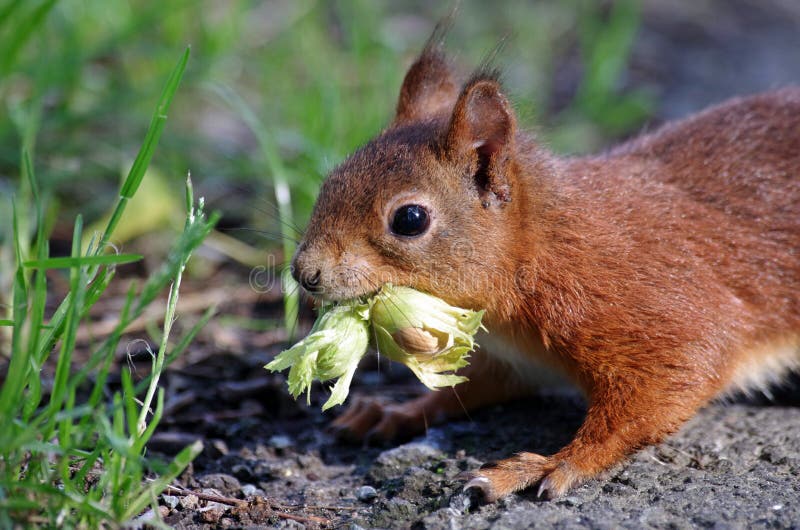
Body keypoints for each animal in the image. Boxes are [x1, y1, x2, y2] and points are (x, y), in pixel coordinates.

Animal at [289, 27, 800, 501]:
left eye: (410, 219)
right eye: (330, 181)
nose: (304, 274)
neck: (541, 250)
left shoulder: (649, 306)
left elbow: (677, 375)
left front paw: (554, 464)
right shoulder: (515, 361)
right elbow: (470, 387)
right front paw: (399, 412)